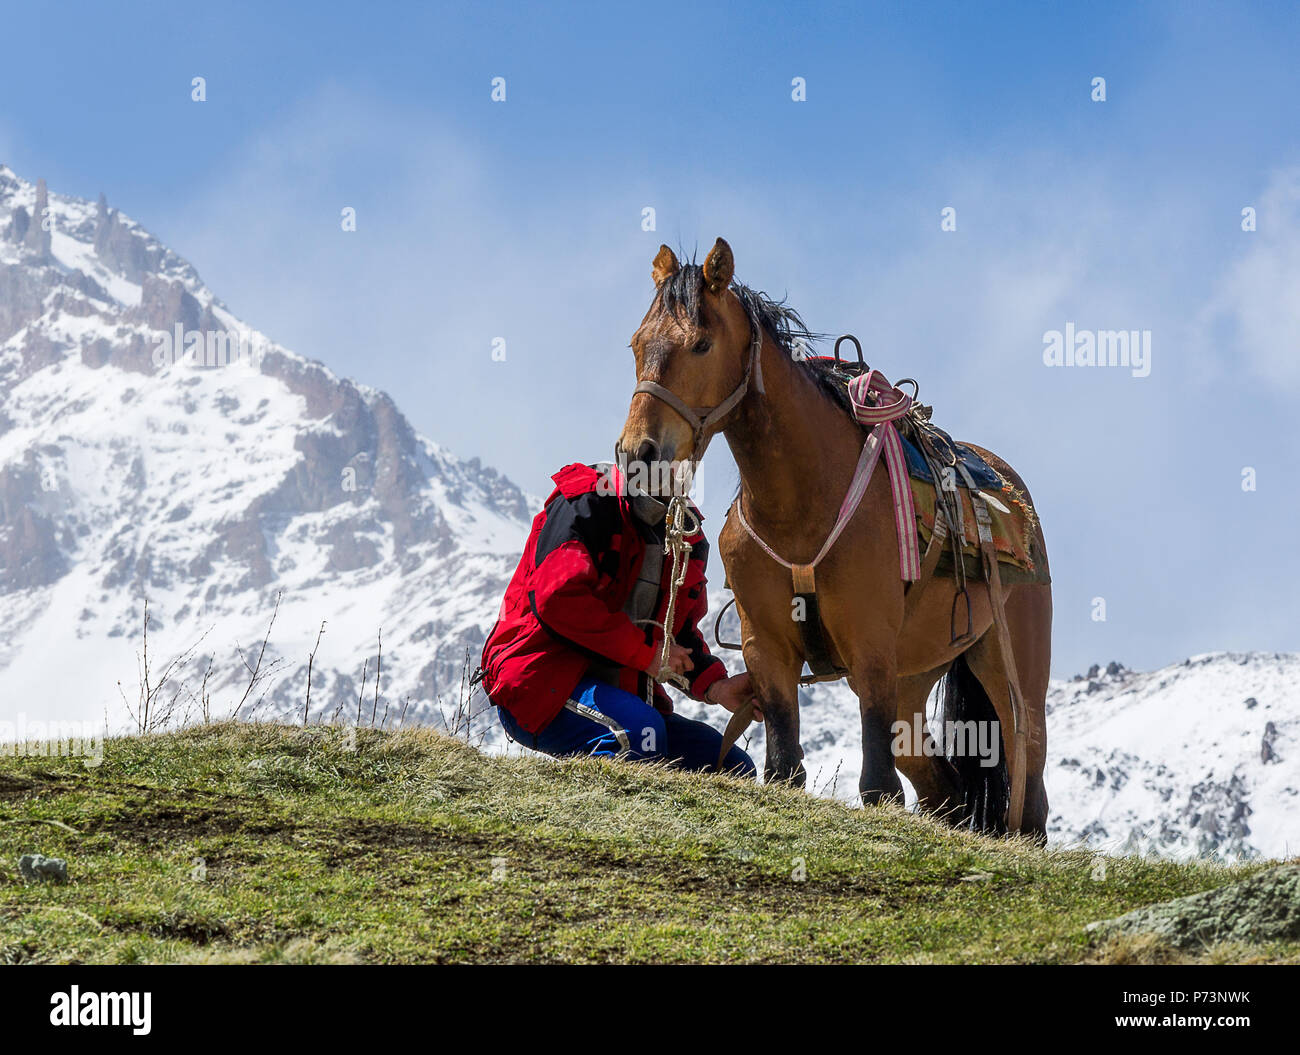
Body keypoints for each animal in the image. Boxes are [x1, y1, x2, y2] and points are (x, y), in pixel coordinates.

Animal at [616, 238, 1051, 838]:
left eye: (701, 344)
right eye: (637, 345)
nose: (639, 454)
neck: (802, 506)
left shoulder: (869, 645)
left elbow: (878, 788)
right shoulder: (766, 645)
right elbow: (783, 767)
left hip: (1014, 672)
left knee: (1027, 776)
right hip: (913, 677)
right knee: (944, 787)